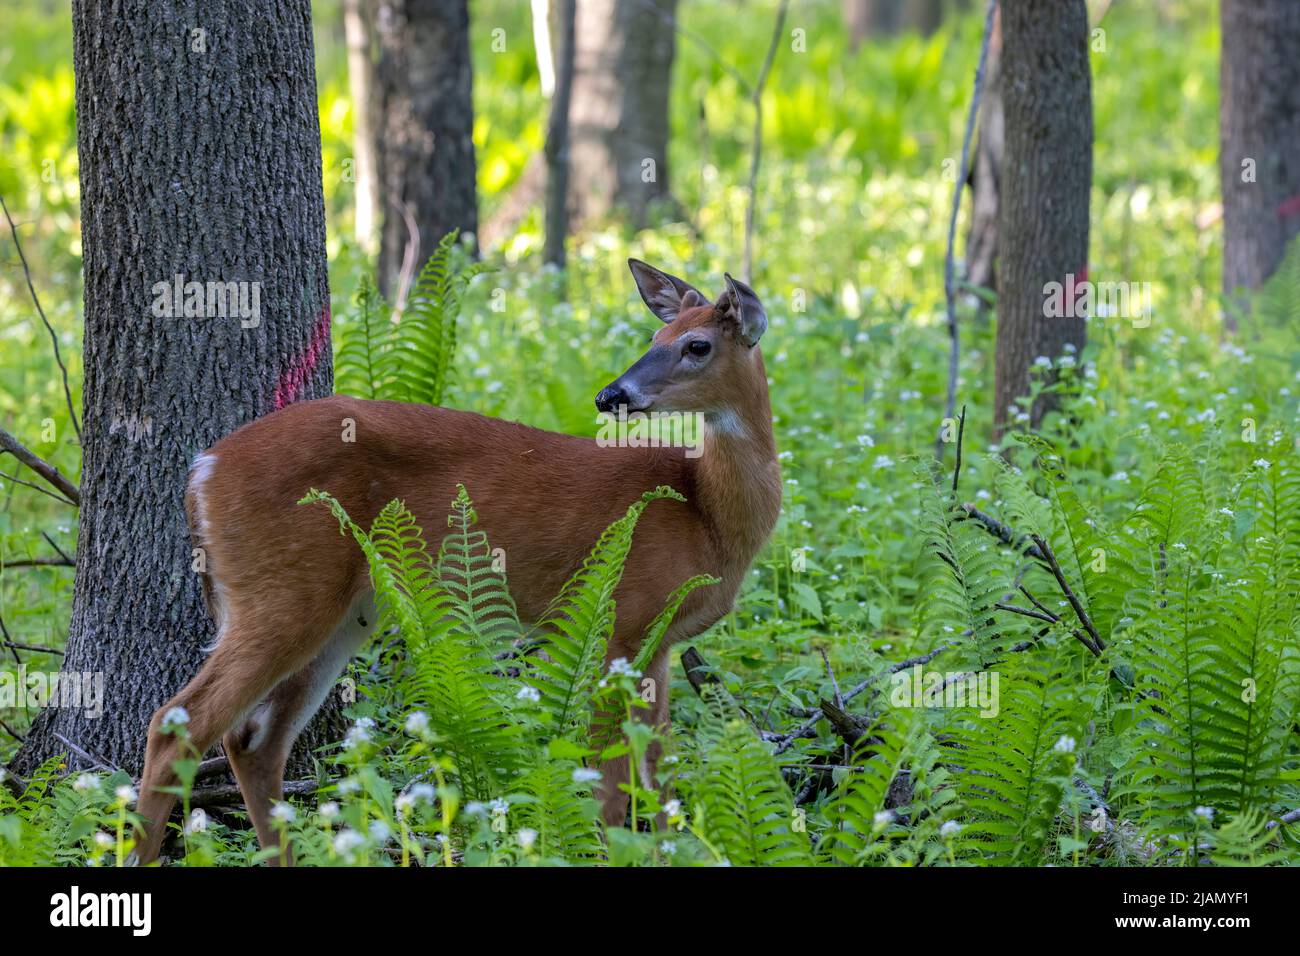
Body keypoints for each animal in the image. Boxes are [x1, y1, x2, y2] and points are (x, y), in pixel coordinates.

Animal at [135, 260, 781, 863]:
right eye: (654, 337)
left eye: (696, 344)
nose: (610, 395)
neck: (705, 511)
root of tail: (202, 468)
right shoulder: (620, 618)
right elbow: (610, 785)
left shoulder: (660, 644)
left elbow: (660, 776)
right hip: (283, 590)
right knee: (178, 724)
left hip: (346, 608)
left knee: (254, 740)